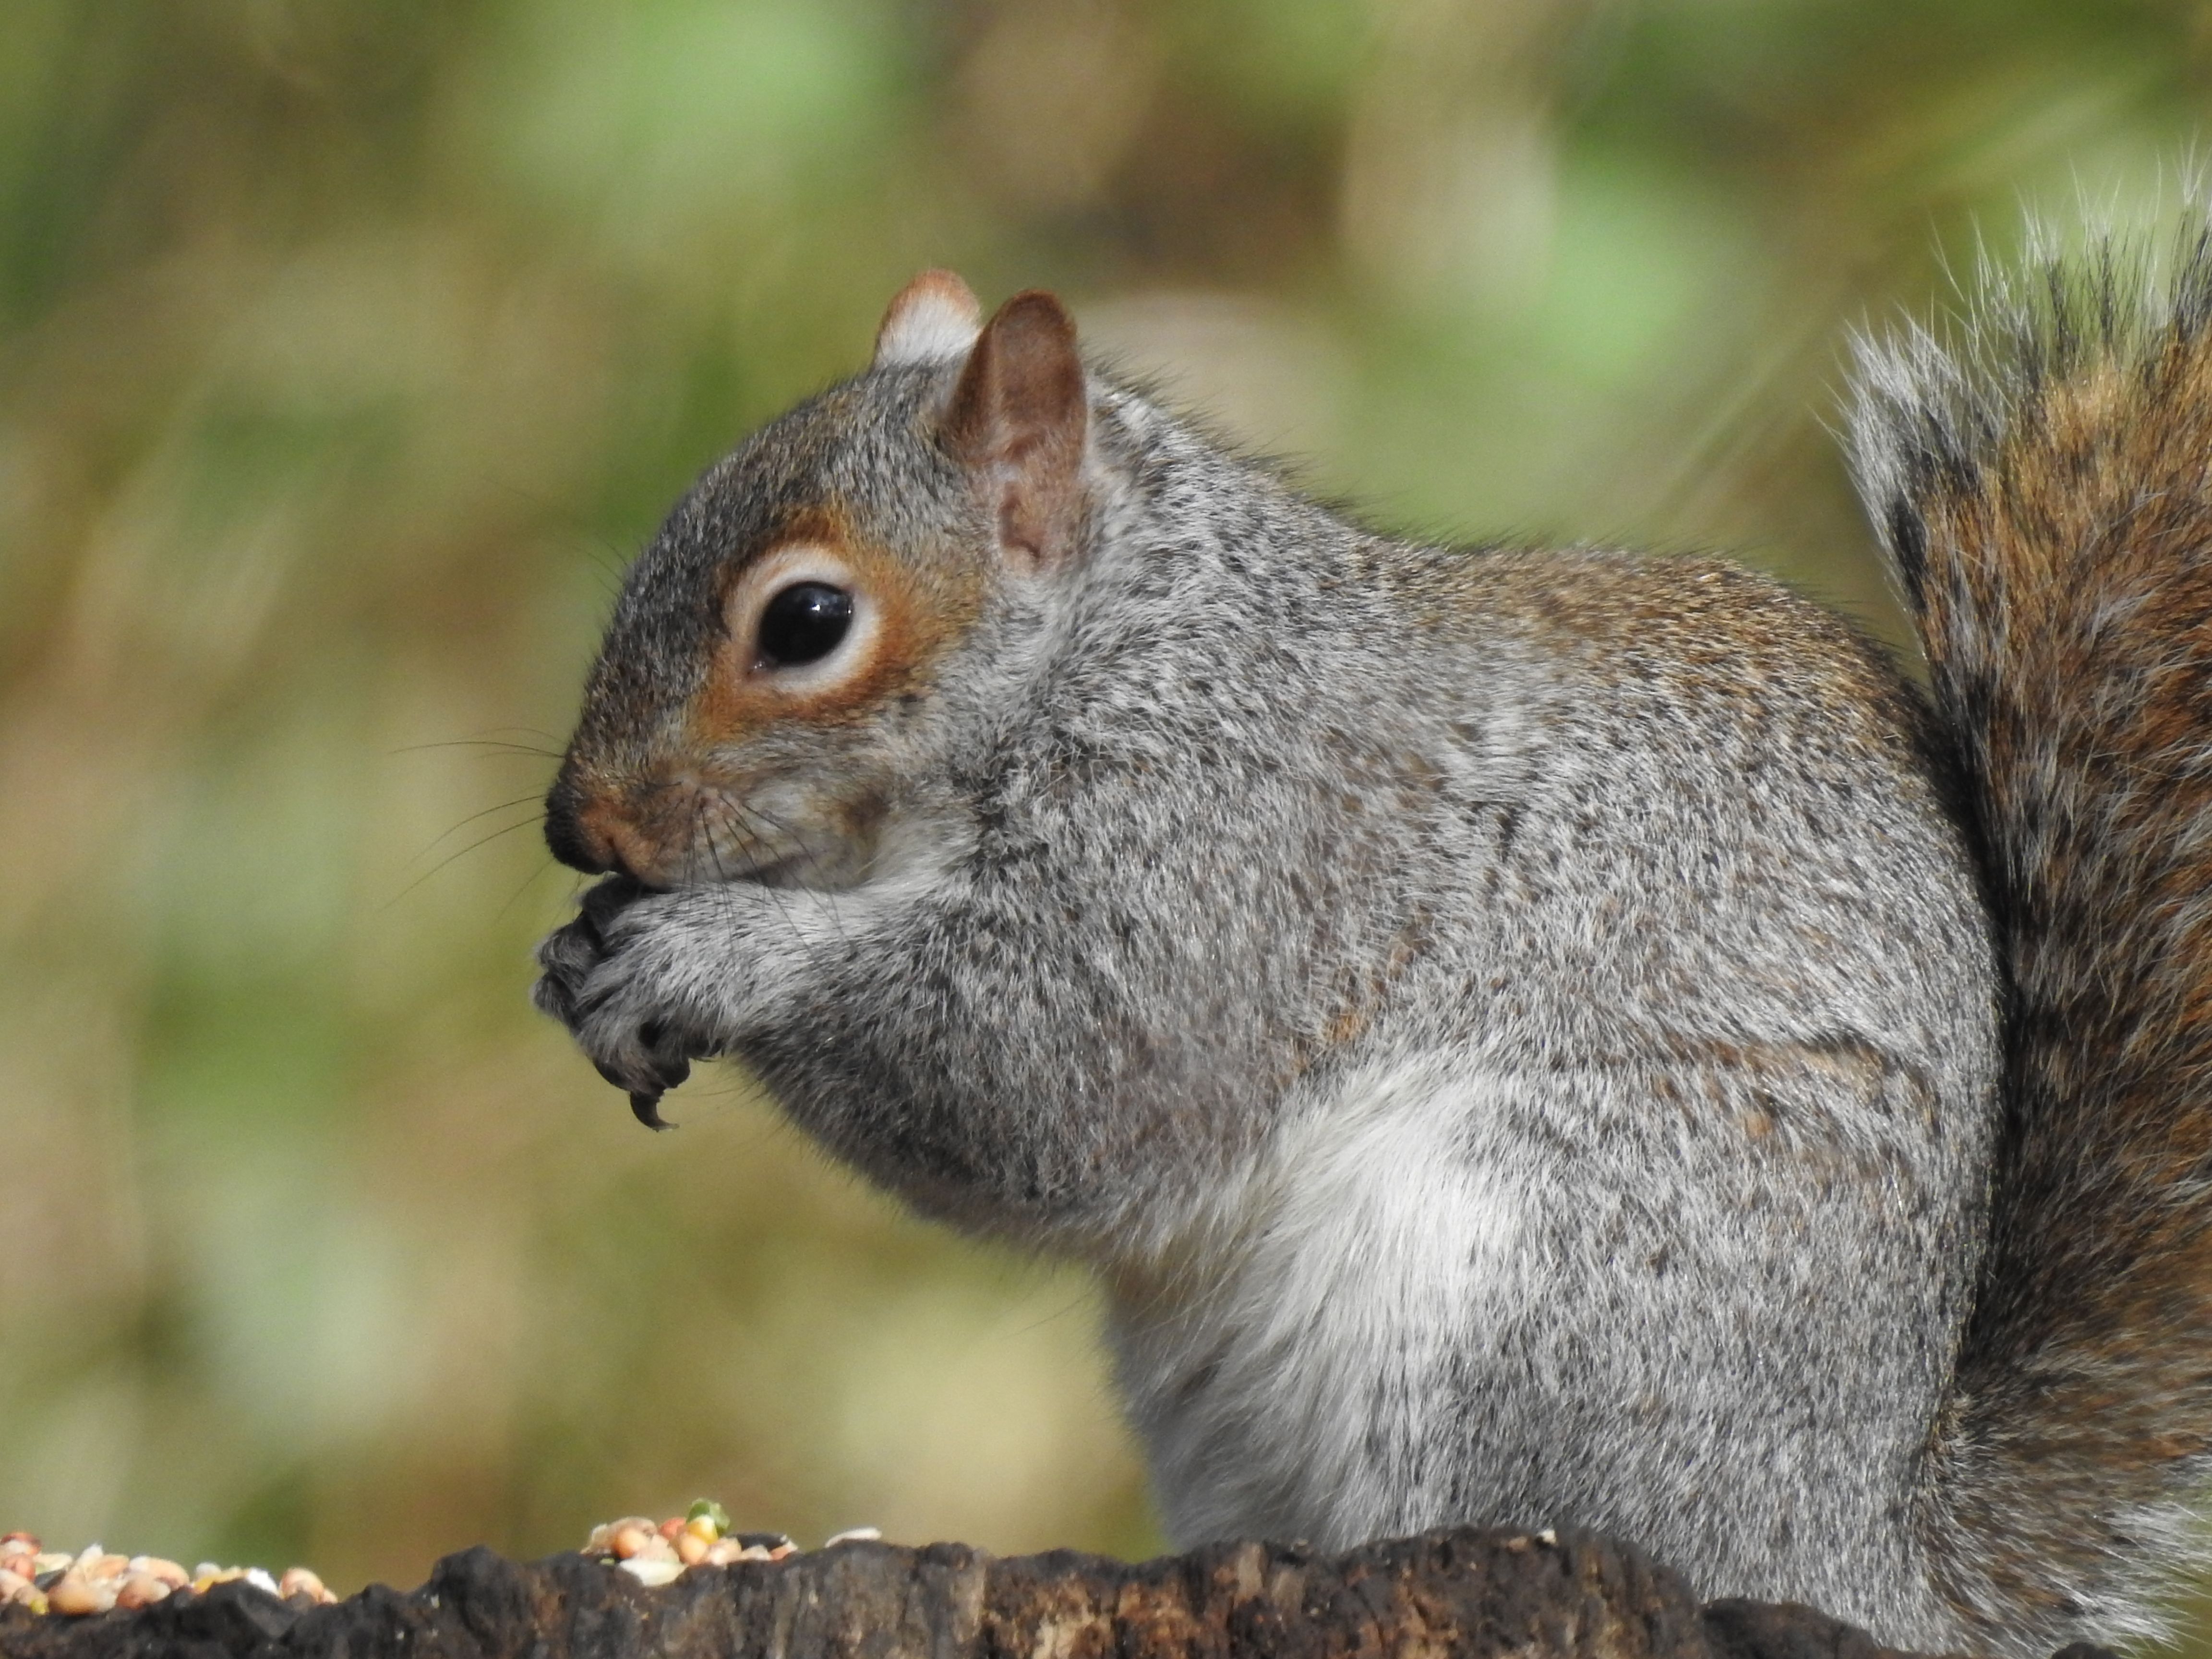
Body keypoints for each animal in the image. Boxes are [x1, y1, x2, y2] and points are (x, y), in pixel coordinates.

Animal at [531, 231, 2212, 1657]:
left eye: (806, 622)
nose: (576, 828)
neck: (1124, 643)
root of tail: (1857, 1559)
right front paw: (578, 958)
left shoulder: (1244, 855)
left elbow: (1043, 1076)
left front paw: (705, 956)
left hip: (1553, 1274)